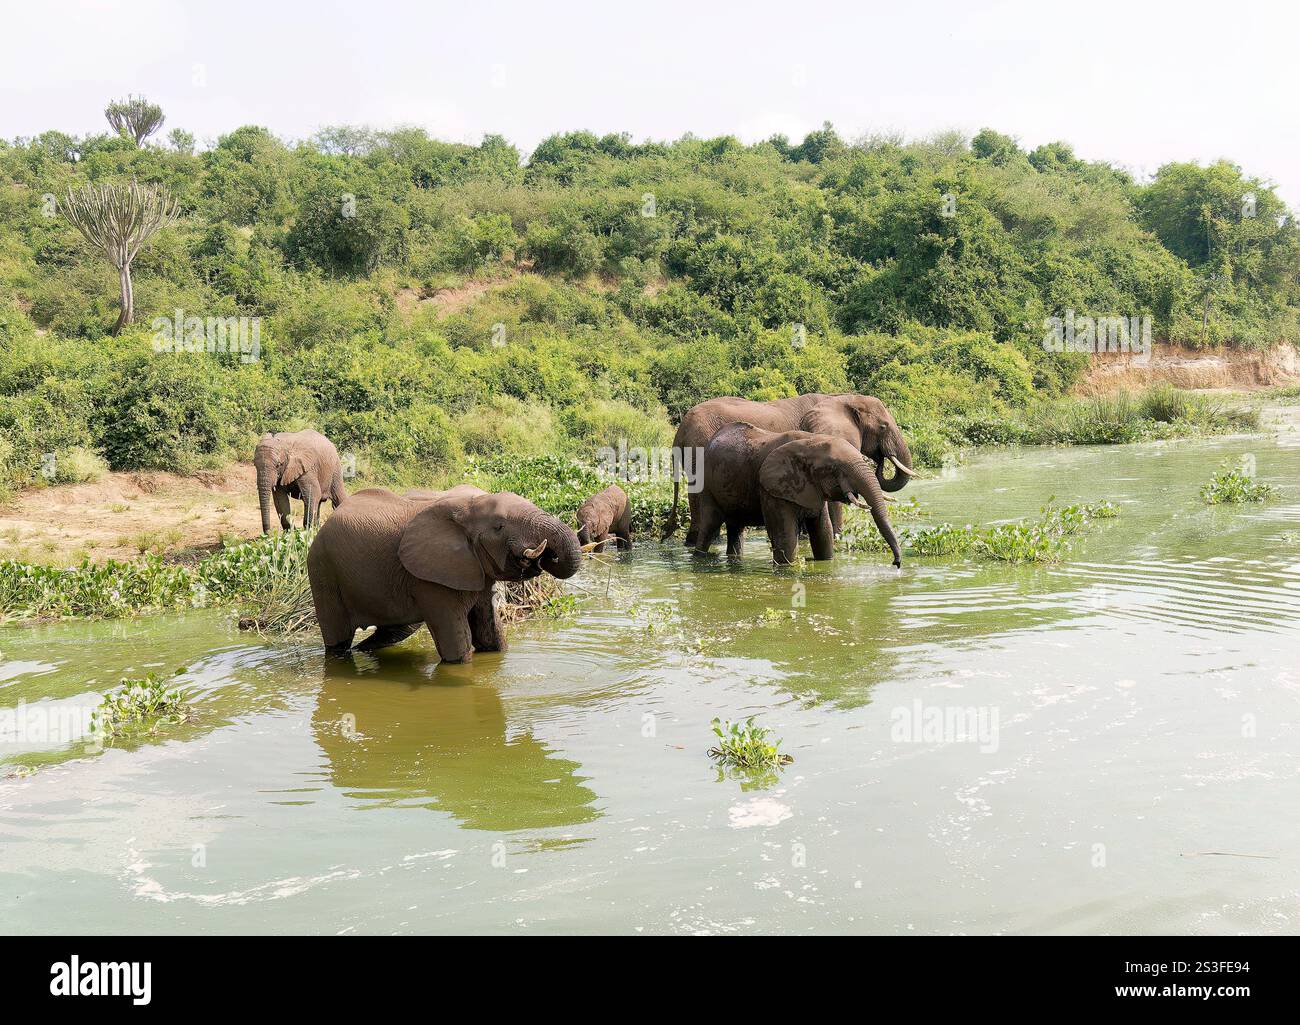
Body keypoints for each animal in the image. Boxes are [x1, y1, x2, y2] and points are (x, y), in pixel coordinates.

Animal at [307, 484, 583, 662]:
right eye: (499, 526)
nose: (546, 554)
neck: (467, 508)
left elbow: (490, 635)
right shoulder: (431, 577)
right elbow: (458, 645)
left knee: (398, 629)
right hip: (322, 570)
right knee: (339, 639)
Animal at [663, 393, 915, 544]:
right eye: (883, 427)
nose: (882, 461)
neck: (841, 398)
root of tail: (680, 429)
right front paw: (837, 538)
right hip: (699, 446)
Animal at [694, 422, 902, 567]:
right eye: (834, 469)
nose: (896, 564)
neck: (810, 442)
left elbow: (823, 533)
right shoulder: (771, 488)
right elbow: (786, 538)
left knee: (736, 528)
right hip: (707, 485)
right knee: (709, 525)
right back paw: (699, 558)